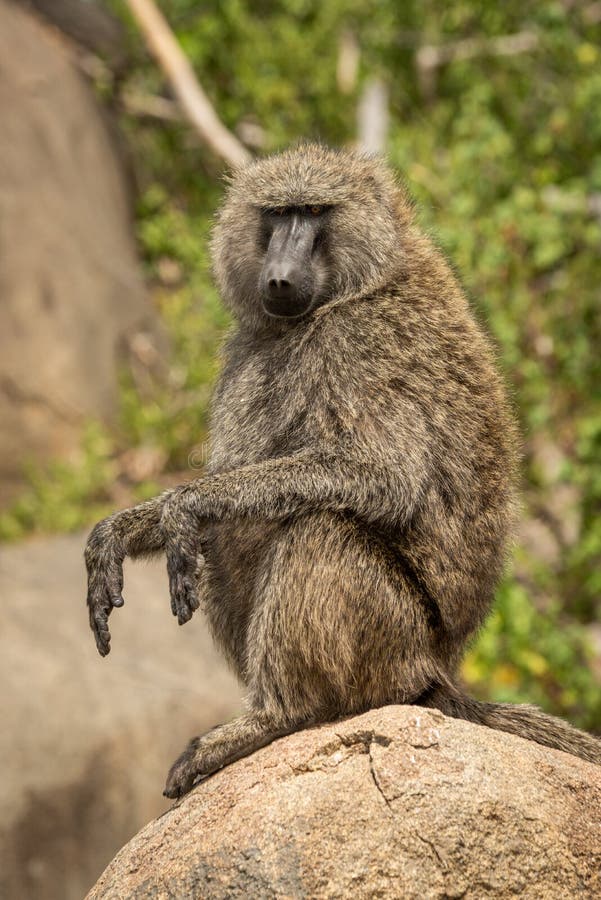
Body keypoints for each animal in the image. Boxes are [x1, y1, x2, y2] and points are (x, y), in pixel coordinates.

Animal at [85, 144, 601, 800]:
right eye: (278, 213)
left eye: (314, 212)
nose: (279, 276)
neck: (362, 281)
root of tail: (439, 674)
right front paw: (121, 531)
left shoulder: (358, 345)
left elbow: (387, 476)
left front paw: (184, 504)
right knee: (230, 538)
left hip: (394, 640)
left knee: (318, 529)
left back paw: (277, 716)